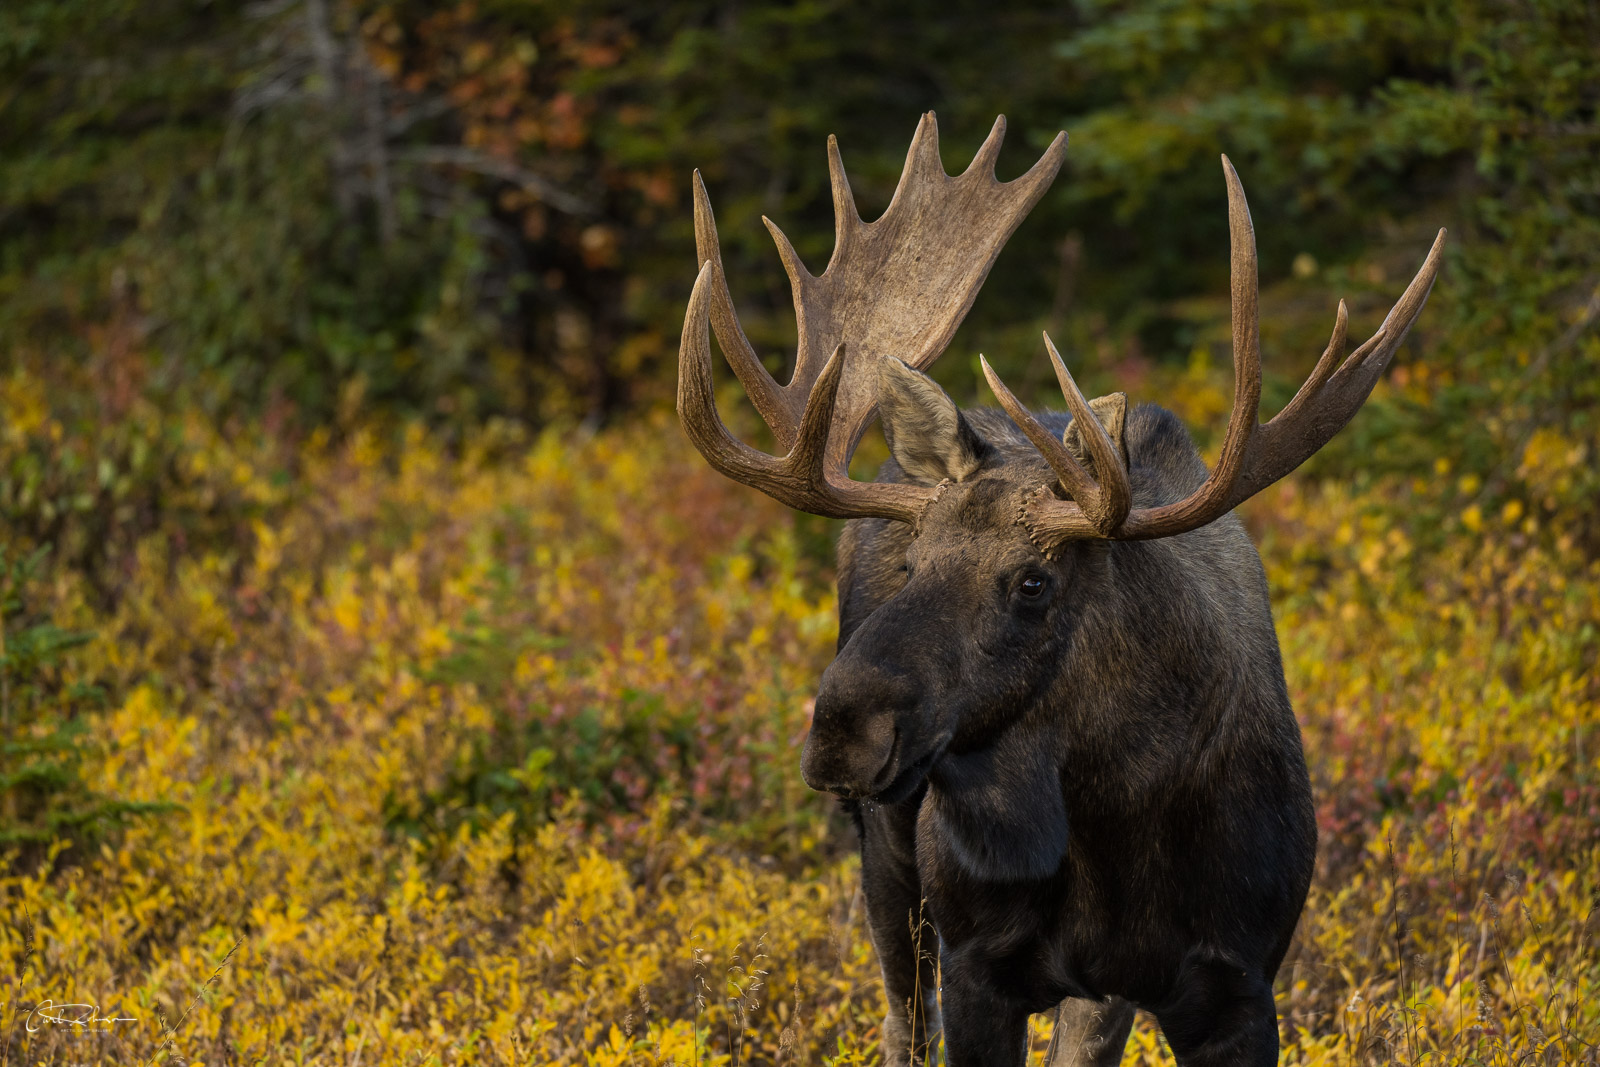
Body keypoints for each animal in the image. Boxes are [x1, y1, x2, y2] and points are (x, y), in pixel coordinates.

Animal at [676, 112, 1444, 1067]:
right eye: (913, 561)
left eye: (1034, 581)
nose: (842, 727)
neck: (1116, 828)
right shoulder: (977, 966)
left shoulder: (1238, 981)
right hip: (888, 860)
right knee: (901, 1018)